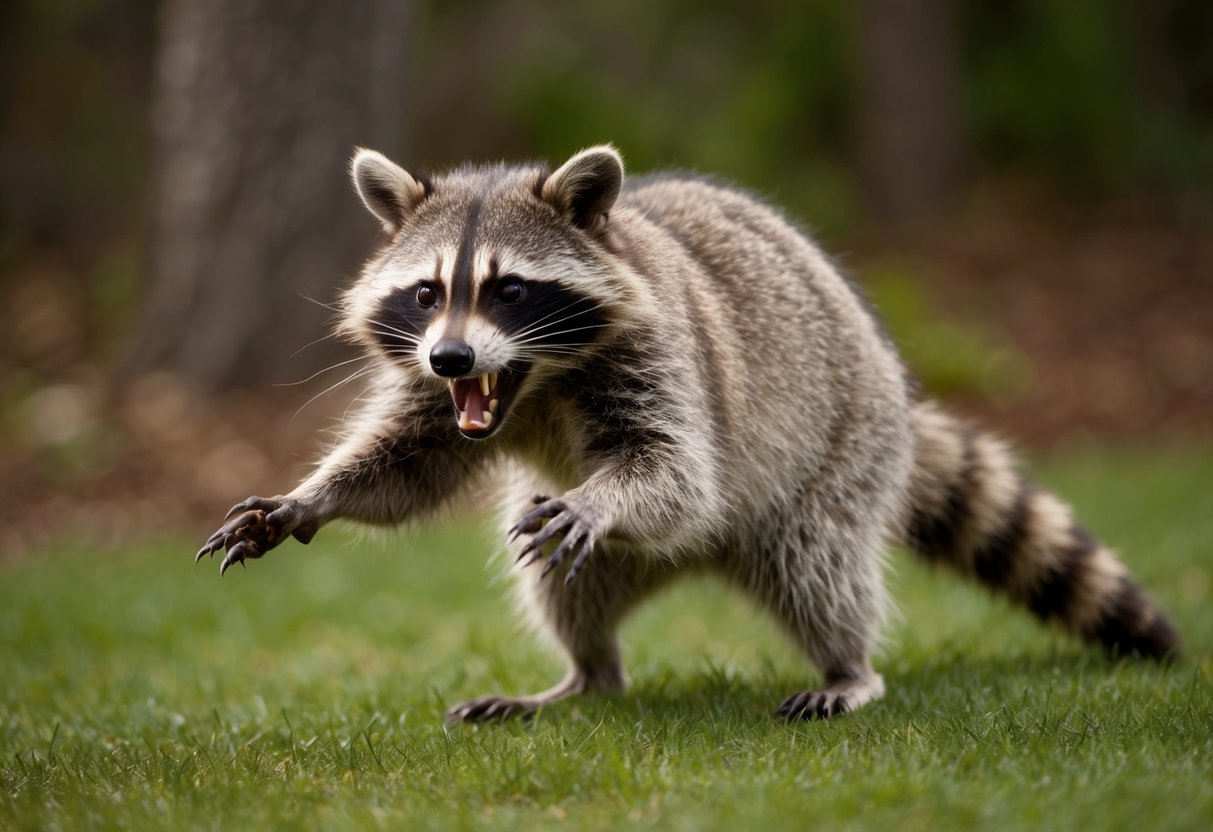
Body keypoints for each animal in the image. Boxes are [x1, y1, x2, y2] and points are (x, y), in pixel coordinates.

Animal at [197, 145, 1179, 721]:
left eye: (509, 289)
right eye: (429, 291)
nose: (451, 357)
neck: (532, 382)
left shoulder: (663, 354)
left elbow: (675, 468)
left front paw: (603, 497)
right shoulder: (432, 393)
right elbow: (402, 464)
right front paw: (310, 499)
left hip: (844, 449)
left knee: (819, 565)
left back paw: (847, 666)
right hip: (614, 557)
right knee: (564, 595)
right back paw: (584, 675)